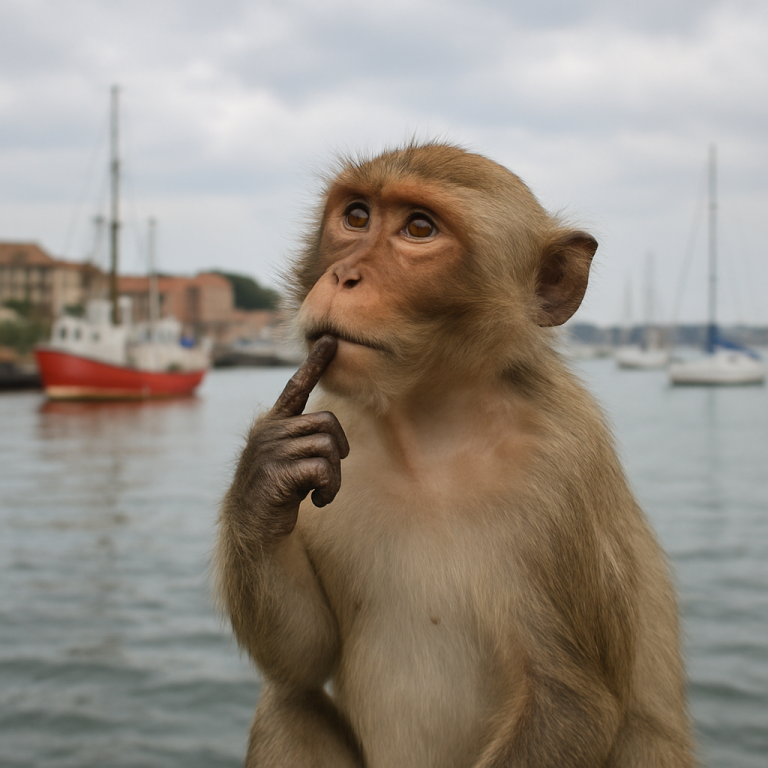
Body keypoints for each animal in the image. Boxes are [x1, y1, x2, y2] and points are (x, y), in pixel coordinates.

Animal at [214, 142, 695, 767]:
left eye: (420, 229)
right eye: (357, 217)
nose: (343, 275)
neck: (430, 430)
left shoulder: (566, 464)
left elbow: (571, 699)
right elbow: (305, 656)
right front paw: (266, 479)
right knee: (287, 704)